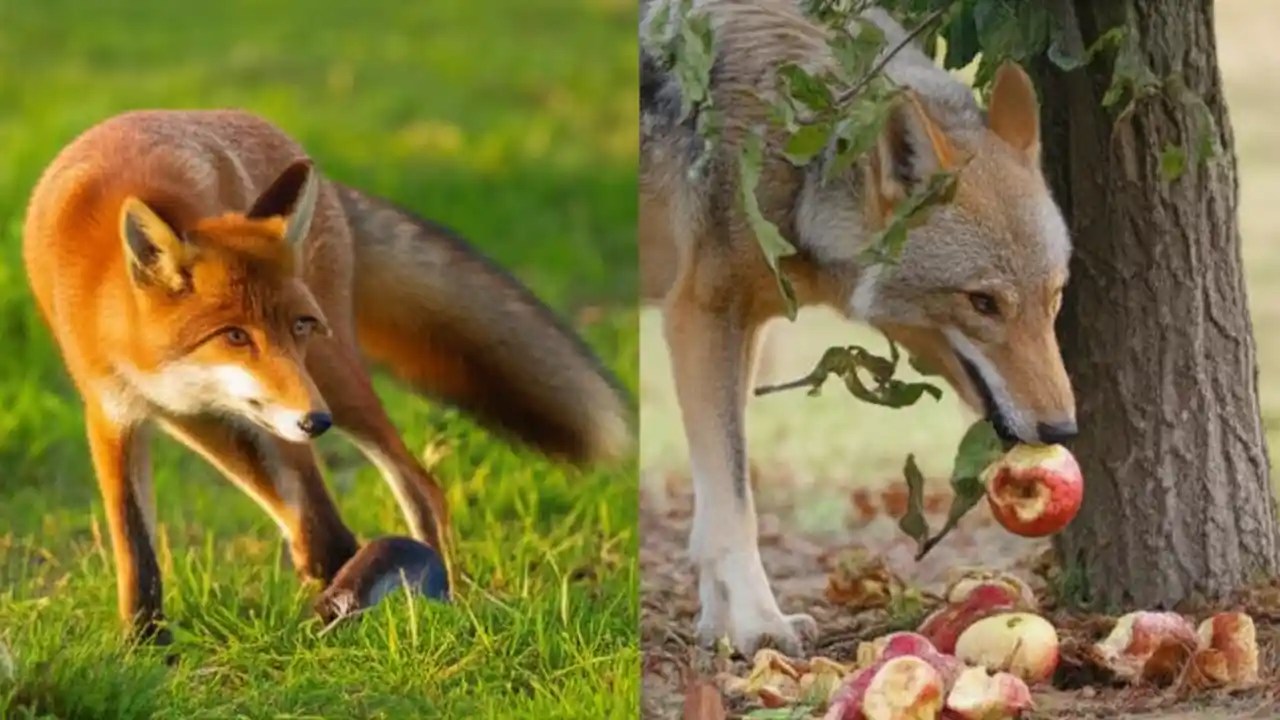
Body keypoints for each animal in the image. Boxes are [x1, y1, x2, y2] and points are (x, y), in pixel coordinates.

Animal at [22, 108, 632, 643]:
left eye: (299, 324)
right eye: (235, 336)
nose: (317, 422)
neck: (104, 290)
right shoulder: (113, 412)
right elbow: (136, 546)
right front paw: (144, 644)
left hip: (329, 379)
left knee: (415, 491)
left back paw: (427, 598)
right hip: (231, 421)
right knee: (314, 522)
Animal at [639, 0, 1078, 655]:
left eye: (1052, 298)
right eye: (982, 303)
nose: (1062, 429)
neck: (796, 142)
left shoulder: (743, 328)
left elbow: (715, 499)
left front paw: (720, 626)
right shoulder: (703, 314)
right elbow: (735, 498)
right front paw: (759, 624)